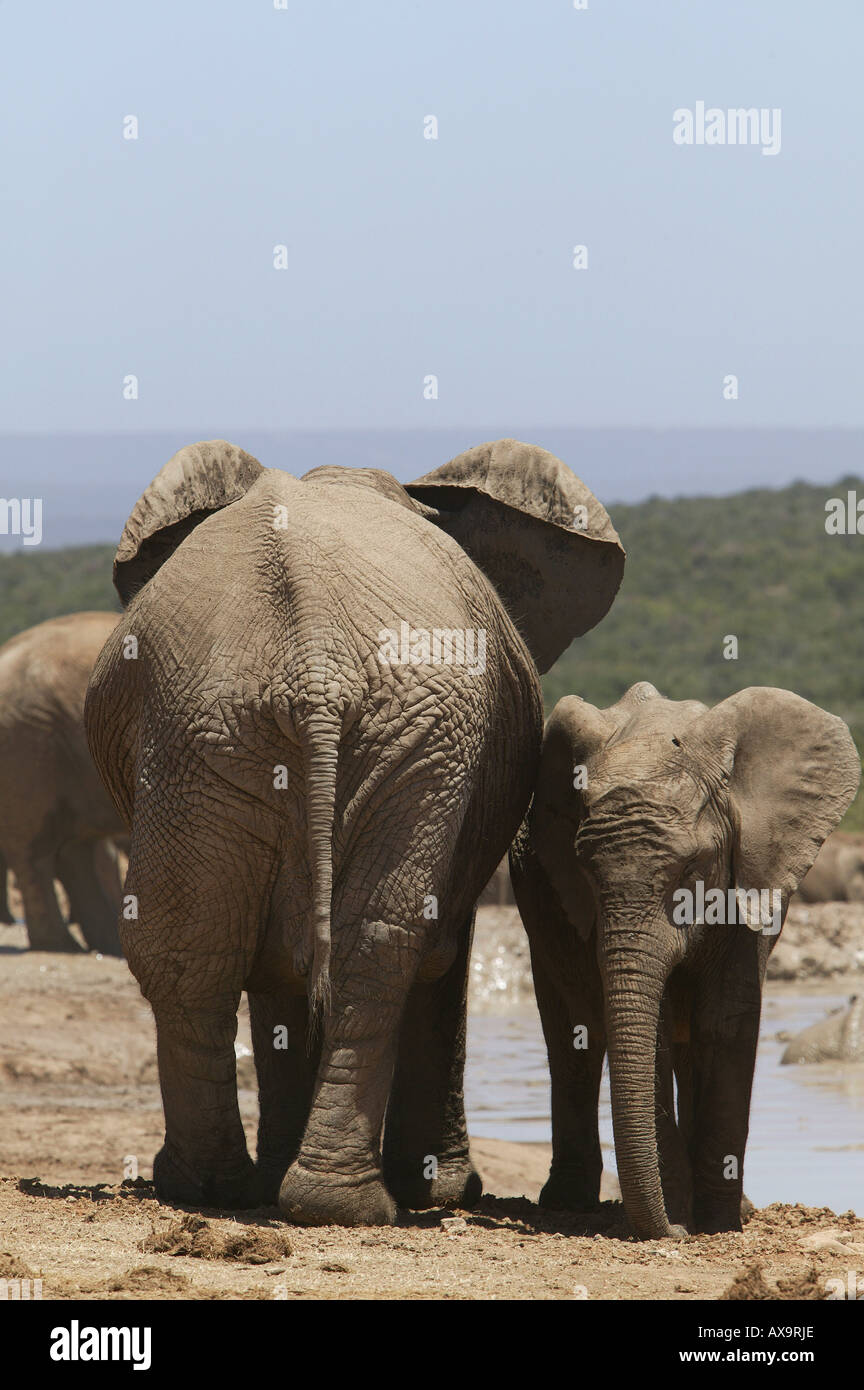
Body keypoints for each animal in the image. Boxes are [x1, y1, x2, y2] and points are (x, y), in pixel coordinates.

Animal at [84, 437, 624, 1224]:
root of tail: (313, 666)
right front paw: (443, 1191)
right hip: (239, 730)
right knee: (357, 941)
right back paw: (298, 1195)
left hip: (248, 734)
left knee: (219, 943)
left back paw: (242, 1191)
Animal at [510, 681, 860, 1239]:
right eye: (585, 868)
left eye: (692, 867)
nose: (672, 1232)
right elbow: (647, 1032)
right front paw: (679, 1218)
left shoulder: (749, 872)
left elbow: (726, 1021)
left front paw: (718, 1225)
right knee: (573, 1038)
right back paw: (569, 1201)